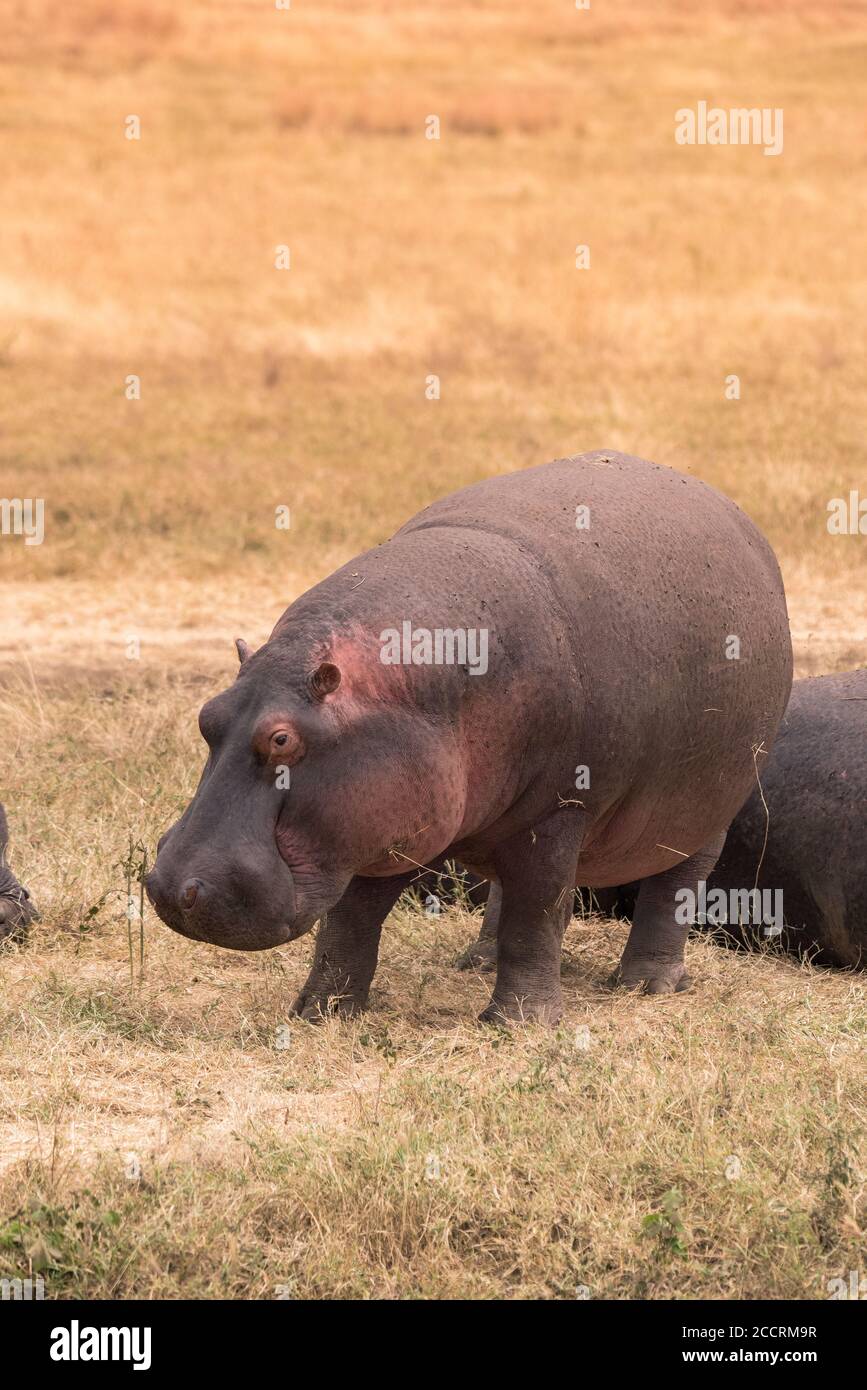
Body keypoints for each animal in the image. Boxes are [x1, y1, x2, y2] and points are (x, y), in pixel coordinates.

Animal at [146, 450, 793, 1024]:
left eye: (281, 740)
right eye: (207, 715)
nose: (172, 887)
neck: (407, 689)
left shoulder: (560, 810)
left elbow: (537, 912)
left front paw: (520, 1023)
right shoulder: (383, 821)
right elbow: (352, 919)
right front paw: (319, 1013)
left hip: (710, 806)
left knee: (672, 887)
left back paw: (646, 985)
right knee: (507, 893)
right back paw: (476, 961)